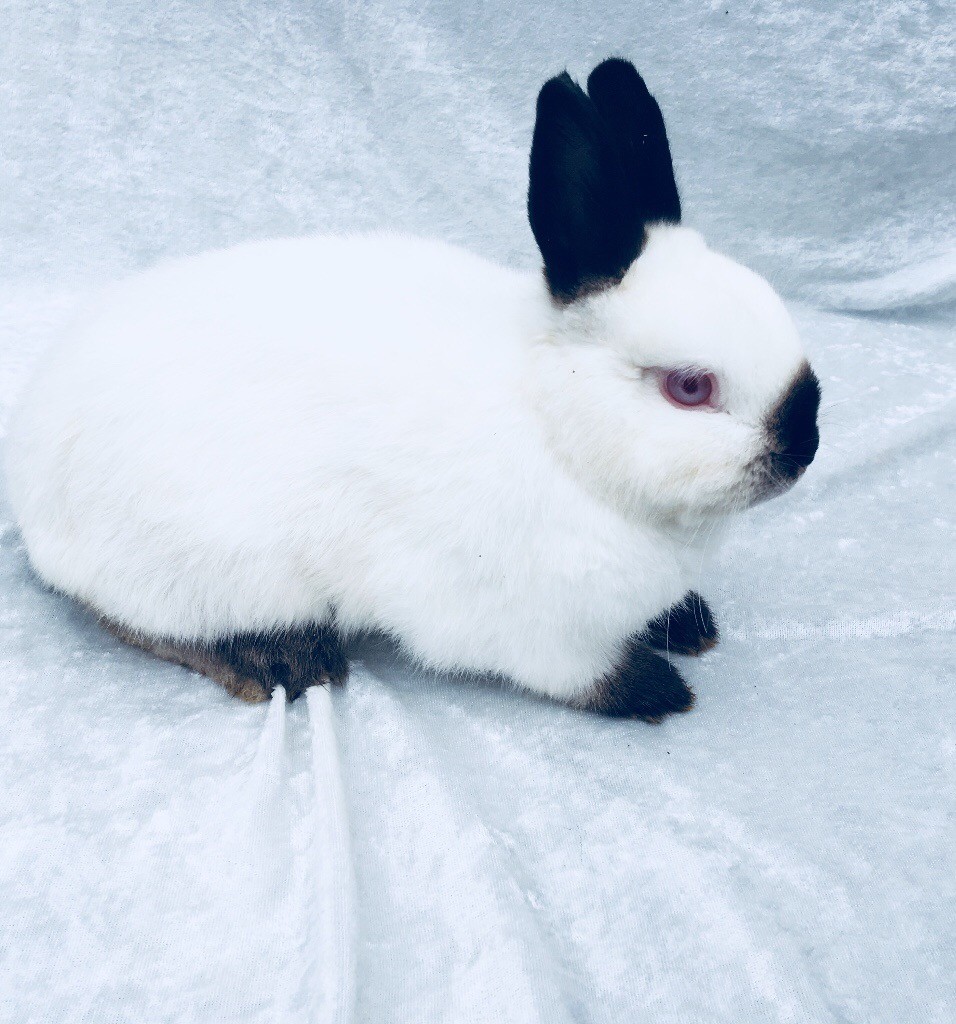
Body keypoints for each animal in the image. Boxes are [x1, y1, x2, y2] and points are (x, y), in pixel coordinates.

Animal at [5, 59, 820, 720]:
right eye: (690, 387)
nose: (803, 447)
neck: (557, 430)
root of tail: (32, 483)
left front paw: (693, 627)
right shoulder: (525, 624)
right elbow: (573, 672)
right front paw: (658, 690)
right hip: (219, 570)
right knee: (140, 620)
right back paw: (288, 660)